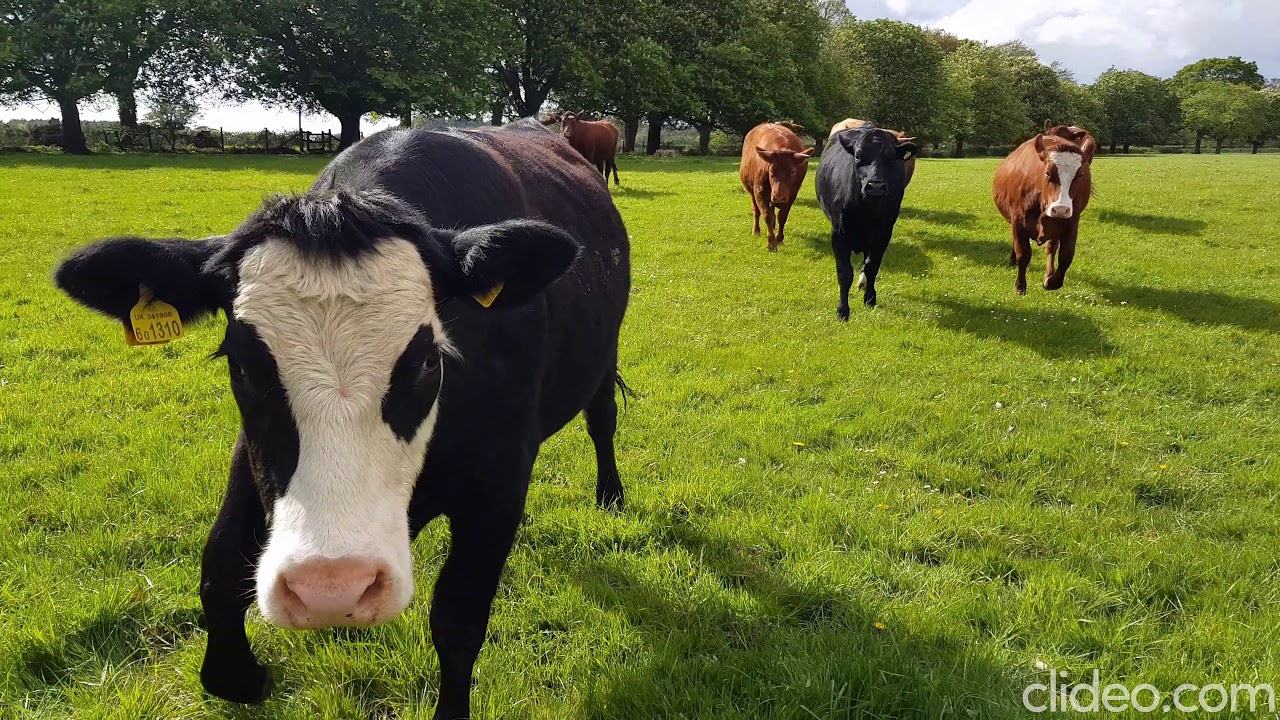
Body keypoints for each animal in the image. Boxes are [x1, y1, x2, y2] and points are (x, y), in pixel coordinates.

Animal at [53, 119, 631, 720]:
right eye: (243, 362)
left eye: (429, 359)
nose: (331, 587)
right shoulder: (255, 458)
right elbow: (220, 567)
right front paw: (246, 675)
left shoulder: (499, 481)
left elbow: (457, 622)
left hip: (604, 353)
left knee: (603, 418)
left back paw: (610, 495)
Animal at [739, 122, 815, 252]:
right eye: (771, 171)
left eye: (792, 172)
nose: (779, 197)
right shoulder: (759, 191)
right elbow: (767, 215)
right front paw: (771, 242)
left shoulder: (792, 195)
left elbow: (782, 216)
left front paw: (779, 238)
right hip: (752, 192)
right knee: (756, 211)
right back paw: (756, 231)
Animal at [816, 124, 918, 316]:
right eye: (858, 156)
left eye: (890, 158)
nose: (875, 186)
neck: (865, 211)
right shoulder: (838, 233)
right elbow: (845, 273)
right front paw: (843, 310)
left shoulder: (883, 233)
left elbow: (872, 267)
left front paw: (870, 298)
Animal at [993, 123, 1095, 294]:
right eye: (1047, 173)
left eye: (1080, 175)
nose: (1060, 208)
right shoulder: (1017, 220)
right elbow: (1023, 253)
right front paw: (1020, 286)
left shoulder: (1071, 222)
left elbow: (1066, 255)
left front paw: (1052, 280)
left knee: (1051, 247)